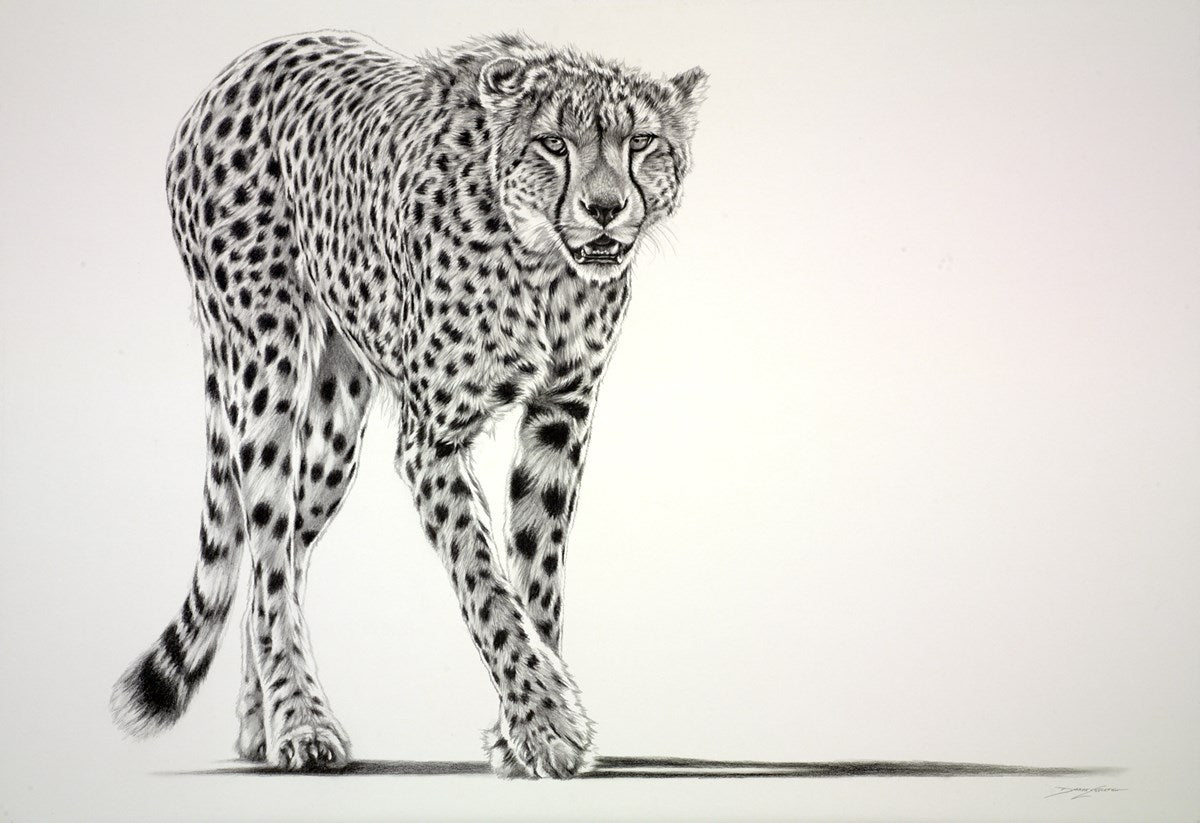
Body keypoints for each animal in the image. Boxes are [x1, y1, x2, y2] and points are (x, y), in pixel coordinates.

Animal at [110, 29, 706, 779]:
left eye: (643, 142)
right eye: (553, 143)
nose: (605, 208)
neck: (542, 267)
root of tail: (248, 61)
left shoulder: (562, 411)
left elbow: (537, 572)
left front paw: (520, 731)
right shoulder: (433, 443)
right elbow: (485, 581)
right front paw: (544, 722)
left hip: (336, 426)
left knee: (283, 551)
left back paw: (259, 720)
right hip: (263, 365)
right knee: (269, 546)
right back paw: (300, 721)